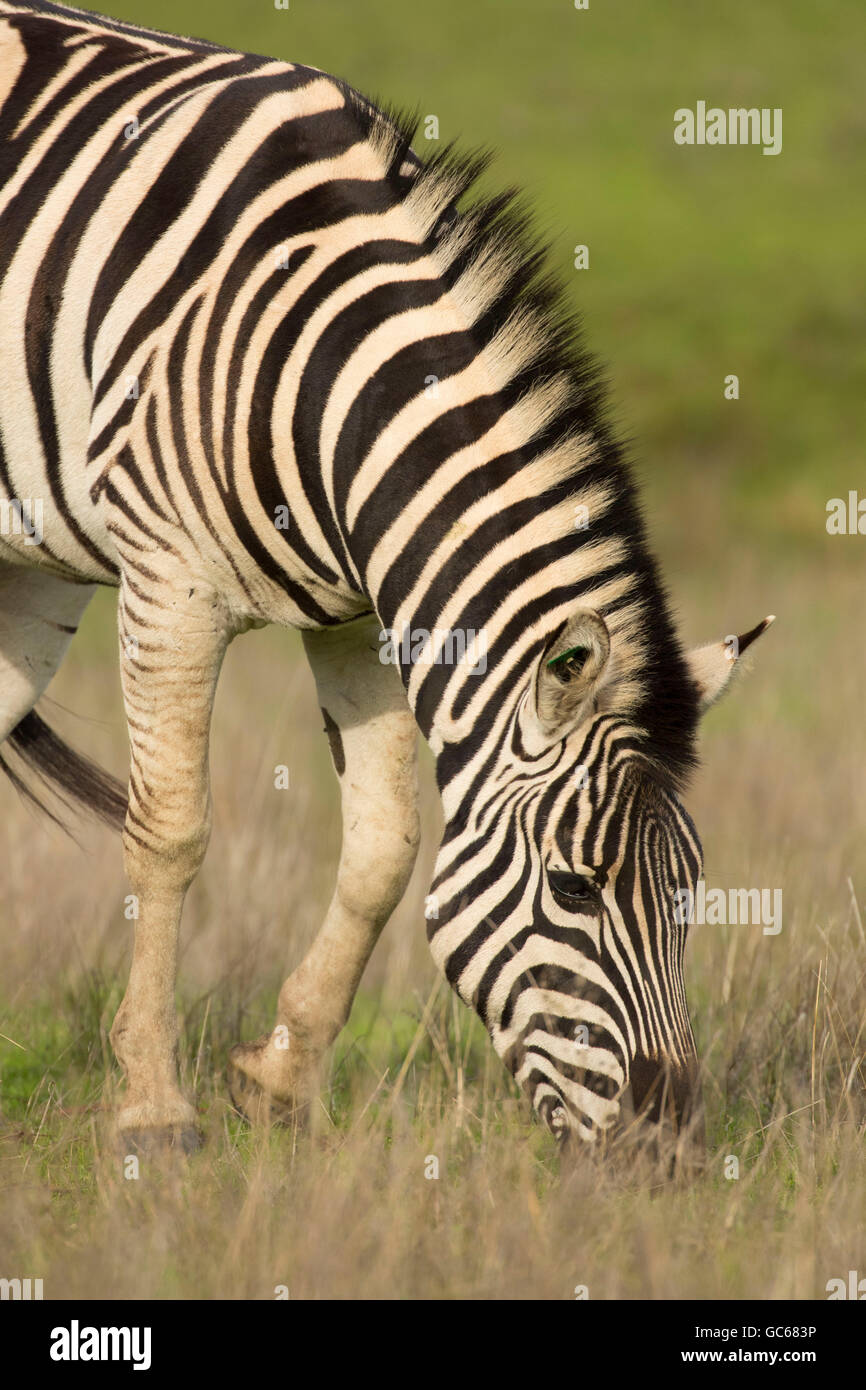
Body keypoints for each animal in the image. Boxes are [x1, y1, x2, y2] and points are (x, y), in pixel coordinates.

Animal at [0, 0, 772, 1151]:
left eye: (691, 889)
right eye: (573, 888)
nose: (665, 1144)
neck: (321, 375)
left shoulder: (357, 616)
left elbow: (383, 850)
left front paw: (281, 1079)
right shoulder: (170, 585)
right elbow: (171, 834)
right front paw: (153, 1109)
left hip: (36, 570)